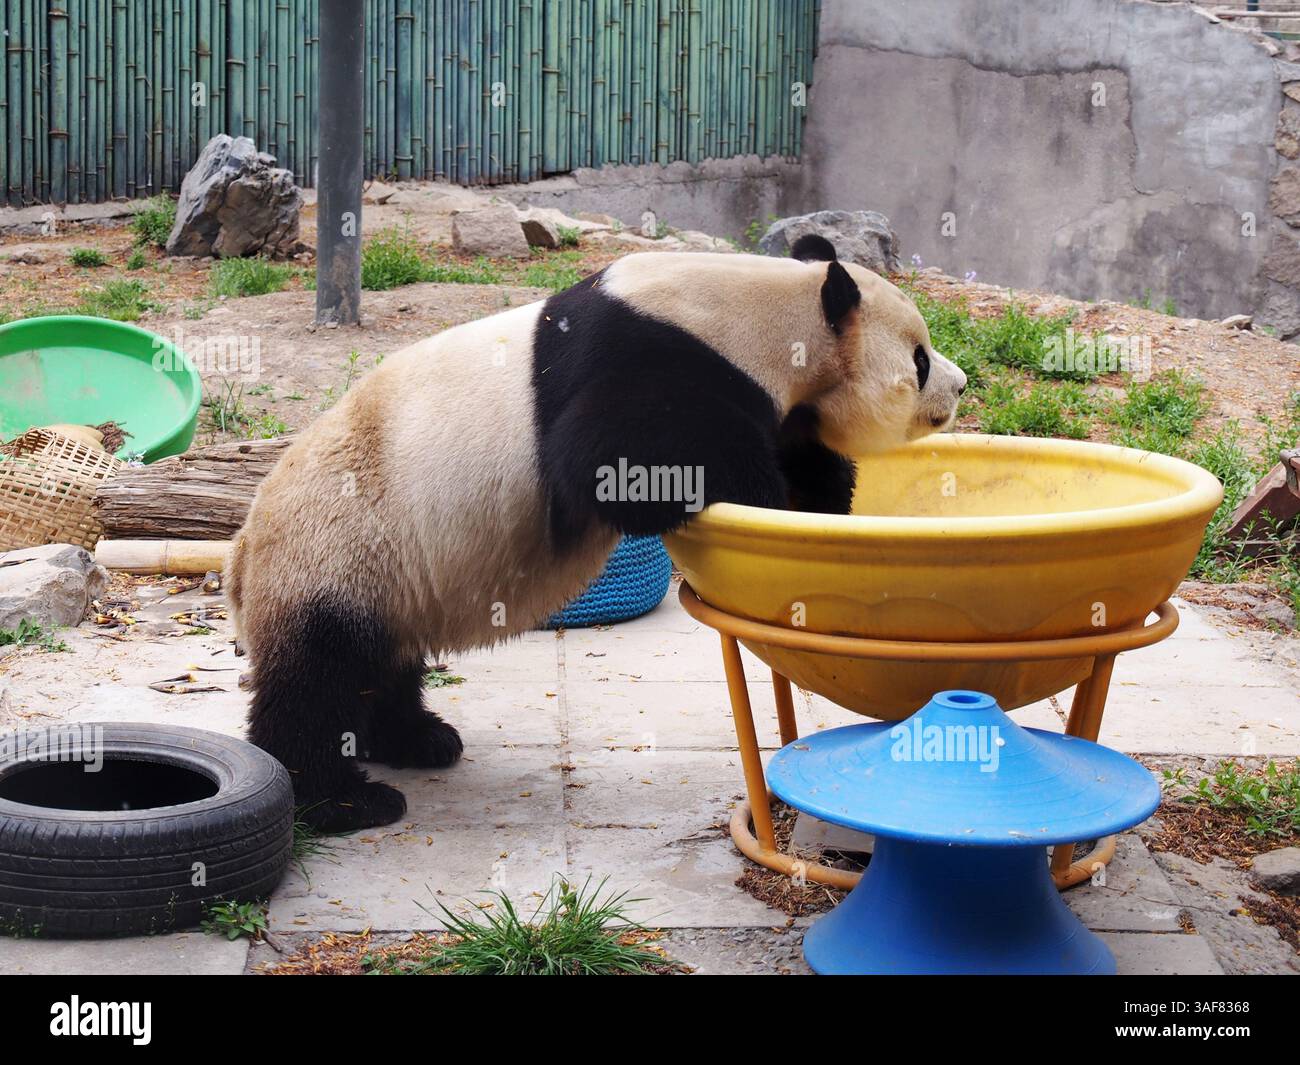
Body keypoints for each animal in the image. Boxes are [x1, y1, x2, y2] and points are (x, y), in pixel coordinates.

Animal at [227, 235, 967, 831]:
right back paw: (342, 799)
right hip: (336, 550)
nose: (959, 387)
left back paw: (418, 740)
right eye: (920, 357)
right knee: (318, 680)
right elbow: (610, 458)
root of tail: (241, 547)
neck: (764, 313)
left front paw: (814, 505)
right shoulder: (654, 358)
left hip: (386, 576)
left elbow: (803, 459)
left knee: (383, 666)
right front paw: (752, 499)